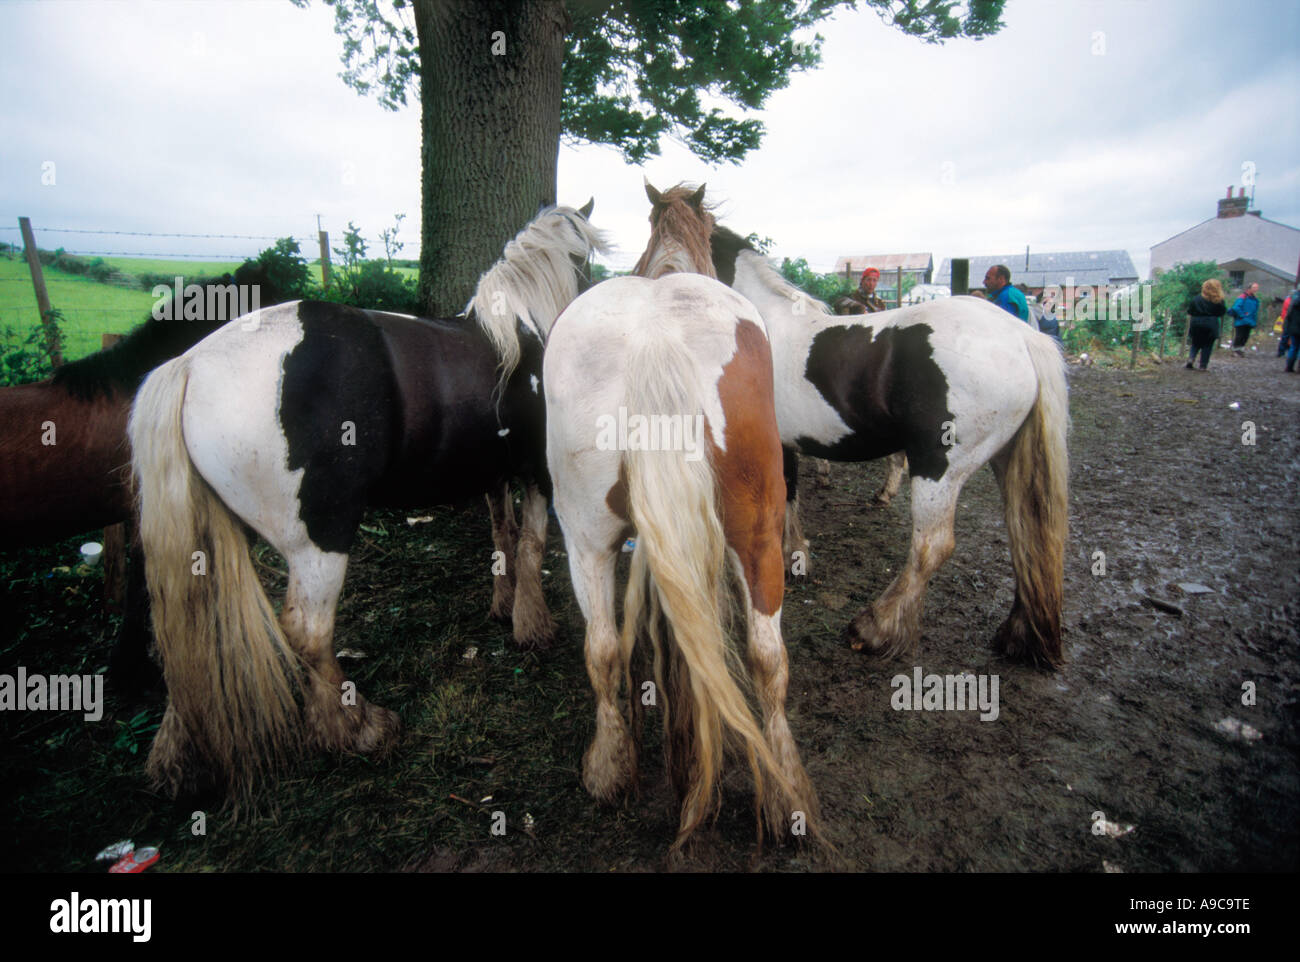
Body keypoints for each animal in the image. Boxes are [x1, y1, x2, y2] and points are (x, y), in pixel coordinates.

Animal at [126, 202, 607, 799]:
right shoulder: (537, 476)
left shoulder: (493, 475)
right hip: (320, 541)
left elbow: (505, 538)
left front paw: (504, 608)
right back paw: (358, 729)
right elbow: (532, 545)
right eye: (587, 264)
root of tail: (190, 365)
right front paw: (532, 627)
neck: (523, 333)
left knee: (191, 637)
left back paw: (179, 759)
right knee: (307, 632)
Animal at [540, 182, 819, 849]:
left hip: (587, 537)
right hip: (757, 532)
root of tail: (655, 337)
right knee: (767, 659)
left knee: (604, 648)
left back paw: (611, 771)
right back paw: (783, 795)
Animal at [706, 221, 1070, 670]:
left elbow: (785, 499)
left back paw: (873, 627)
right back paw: (1020, 637)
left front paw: (793, 559)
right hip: (1007, 463)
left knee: (931, 547)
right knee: (1026, 534)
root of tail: (1022, 338)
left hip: (938, 467)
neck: (760, 321)